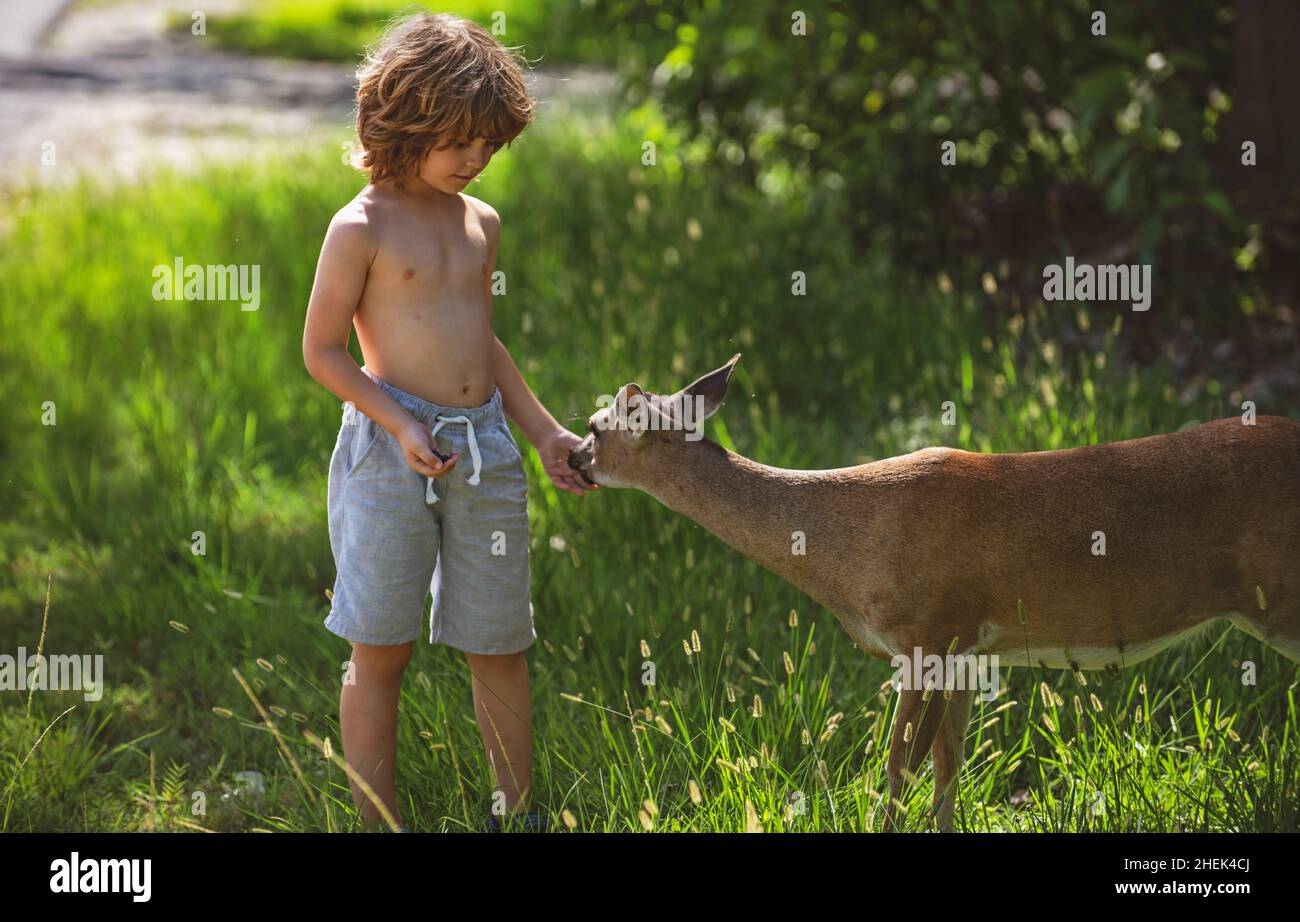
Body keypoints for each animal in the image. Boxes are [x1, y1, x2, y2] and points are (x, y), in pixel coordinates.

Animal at [566, 354, 1300, 831]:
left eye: (600, 425)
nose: (571, 456)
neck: (844, 547)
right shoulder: (968, 650)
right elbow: (949, 768)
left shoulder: (927, 634)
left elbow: (898, 767)